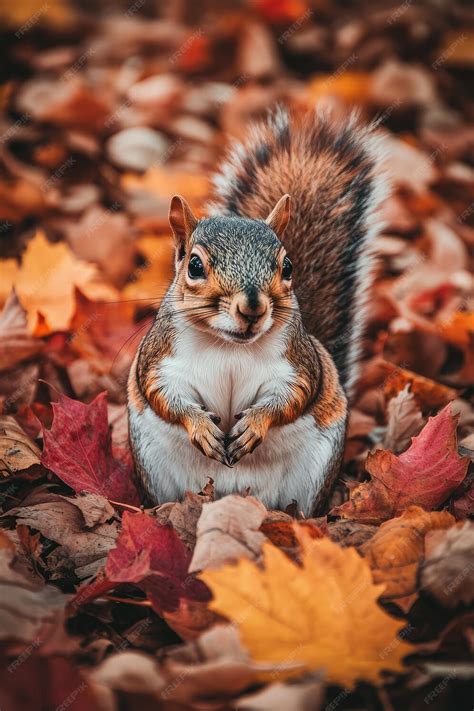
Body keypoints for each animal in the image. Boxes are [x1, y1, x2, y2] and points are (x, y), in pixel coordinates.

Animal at [127, 107, 387, 516]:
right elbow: (163, 395)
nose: (252, 307)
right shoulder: (159, 360)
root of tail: (233, 495)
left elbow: (294, 395)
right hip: (154, 468)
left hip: (313, 474)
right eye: (194, 265)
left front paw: (255, 424)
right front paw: (200, 425)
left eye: (288, 267)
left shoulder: (298, 363)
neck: (229, 347)